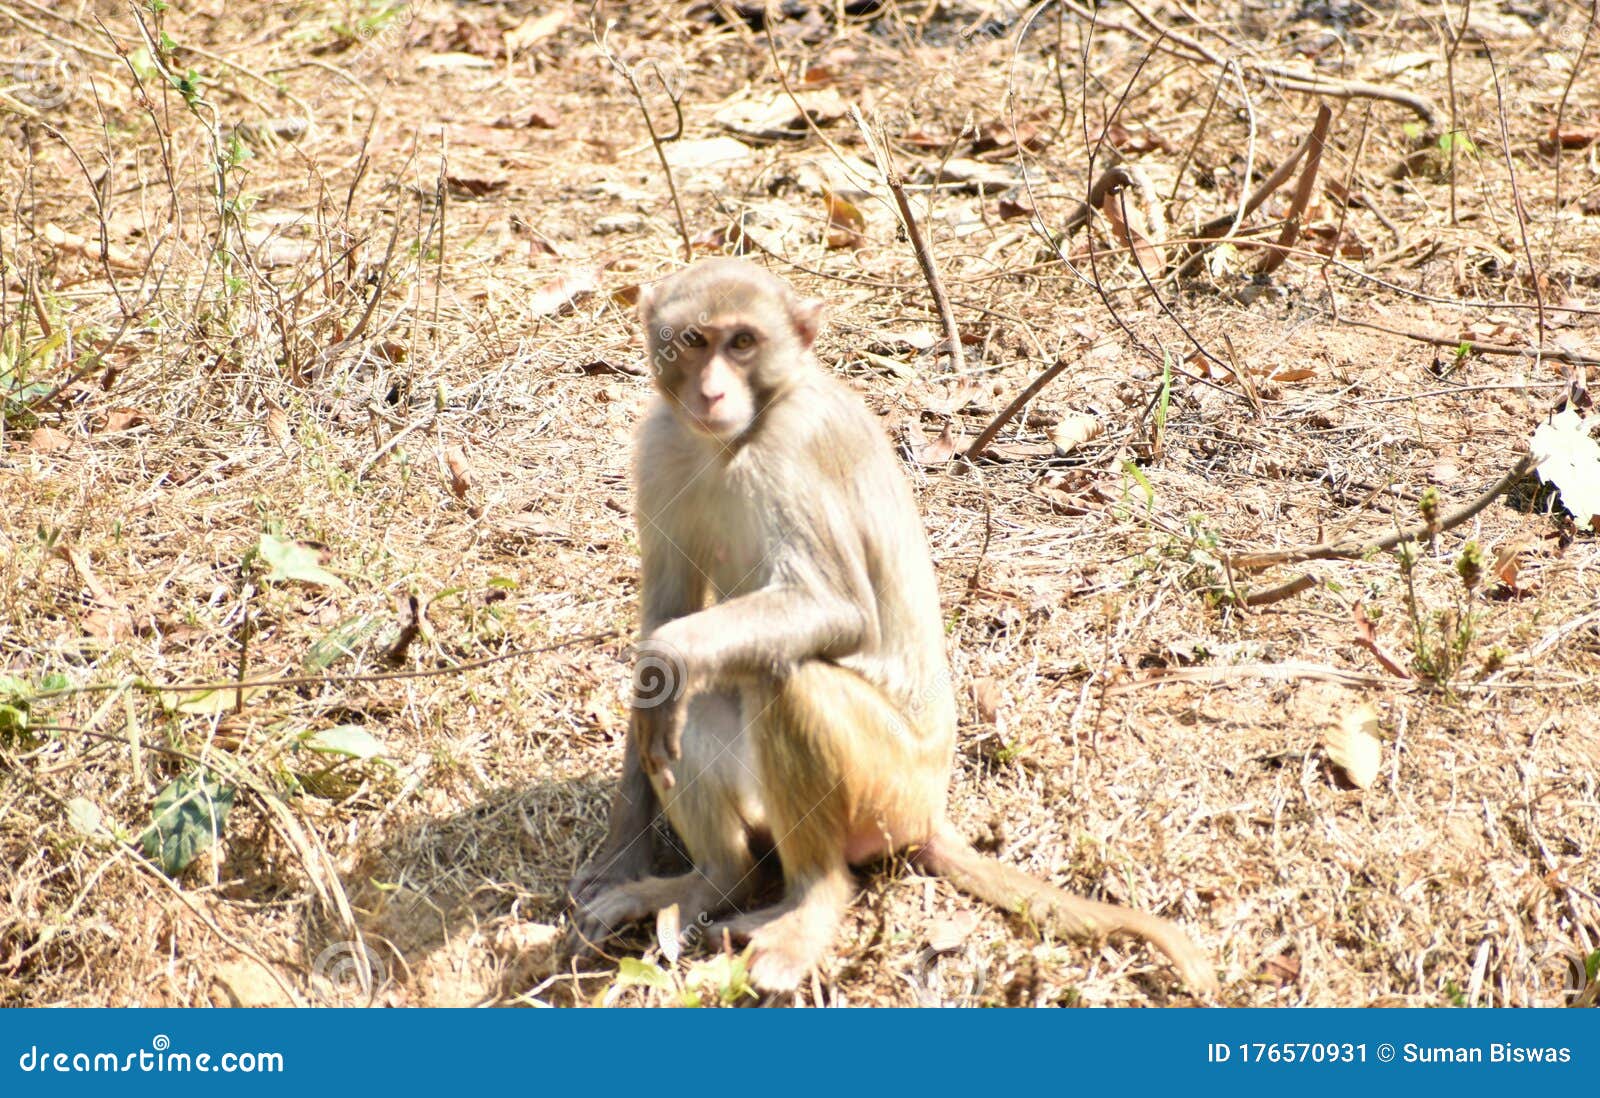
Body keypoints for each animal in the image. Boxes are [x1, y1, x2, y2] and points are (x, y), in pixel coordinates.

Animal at [569, 257, 1217, 997]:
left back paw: (811, 903)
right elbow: (662, 632)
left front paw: (673, 654)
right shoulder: (661, 448)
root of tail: (930, 812)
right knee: (703, 700)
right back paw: (716, 881)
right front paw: (621, 855)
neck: (734, 443)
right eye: (694, 340)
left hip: (889, 786)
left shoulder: (792, 450)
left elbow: (833, 612)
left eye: (743, 343)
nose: (711, 392)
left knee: (786, 679)